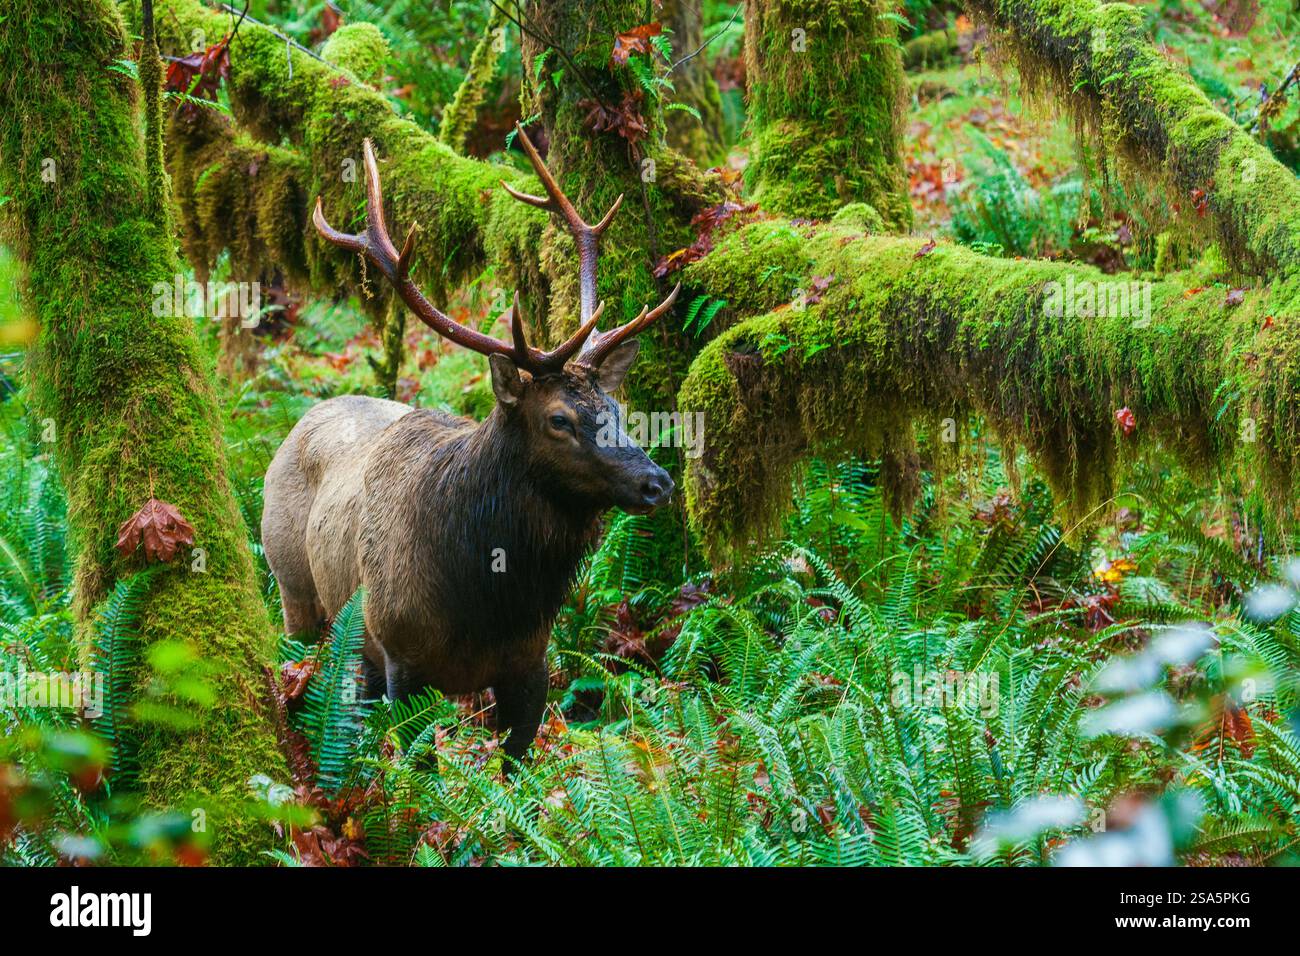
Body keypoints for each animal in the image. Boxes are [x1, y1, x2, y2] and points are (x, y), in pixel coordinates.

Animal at [261, 125, 680, 764]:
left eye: (616, 409)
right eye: (559, 419)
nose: (657, 482)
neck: (484, 601)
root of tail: (306, 416)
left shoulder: (531, 665)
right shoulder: (401, 658)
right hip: (294, 591)